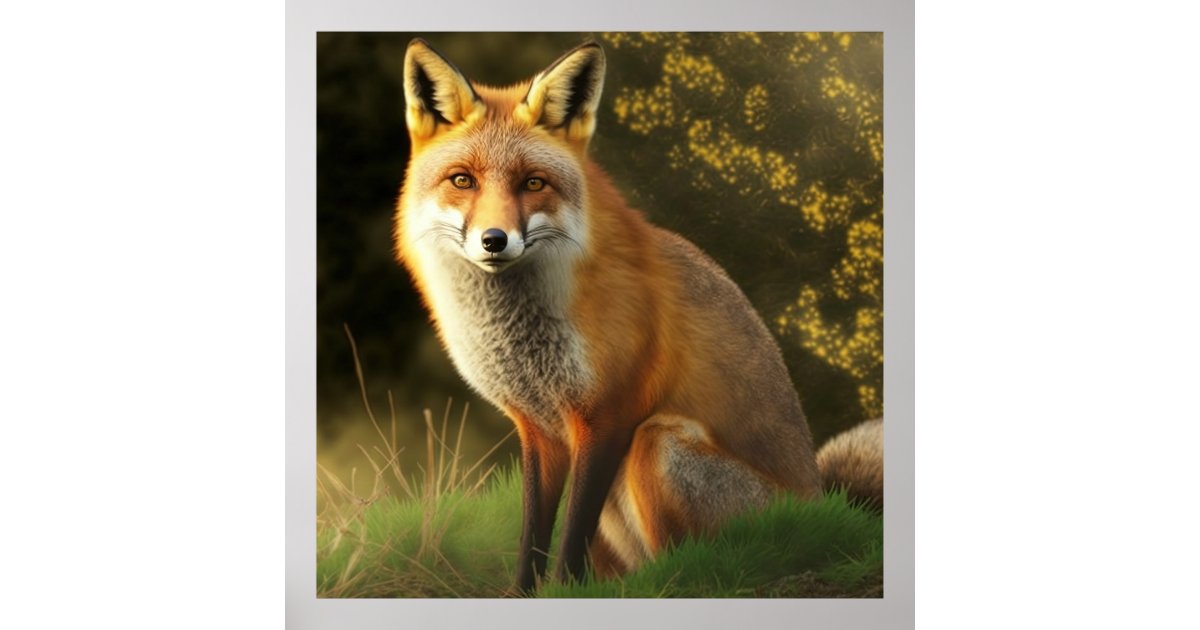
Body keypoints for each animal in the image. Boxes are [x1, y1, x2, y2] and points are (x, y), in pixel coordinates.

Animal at [393, 38, 883, 593]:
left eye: (533, 183)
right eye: (463, 180)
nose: (495, 240)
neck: (524, 341)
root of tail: (822, 505)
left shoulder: (609, 414)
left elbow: (571, 533)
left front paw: (567, 592)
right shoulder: (538, 429)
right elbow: (533, 534)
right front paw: (522, 594)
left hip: (657, 443)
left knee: (692, 566)